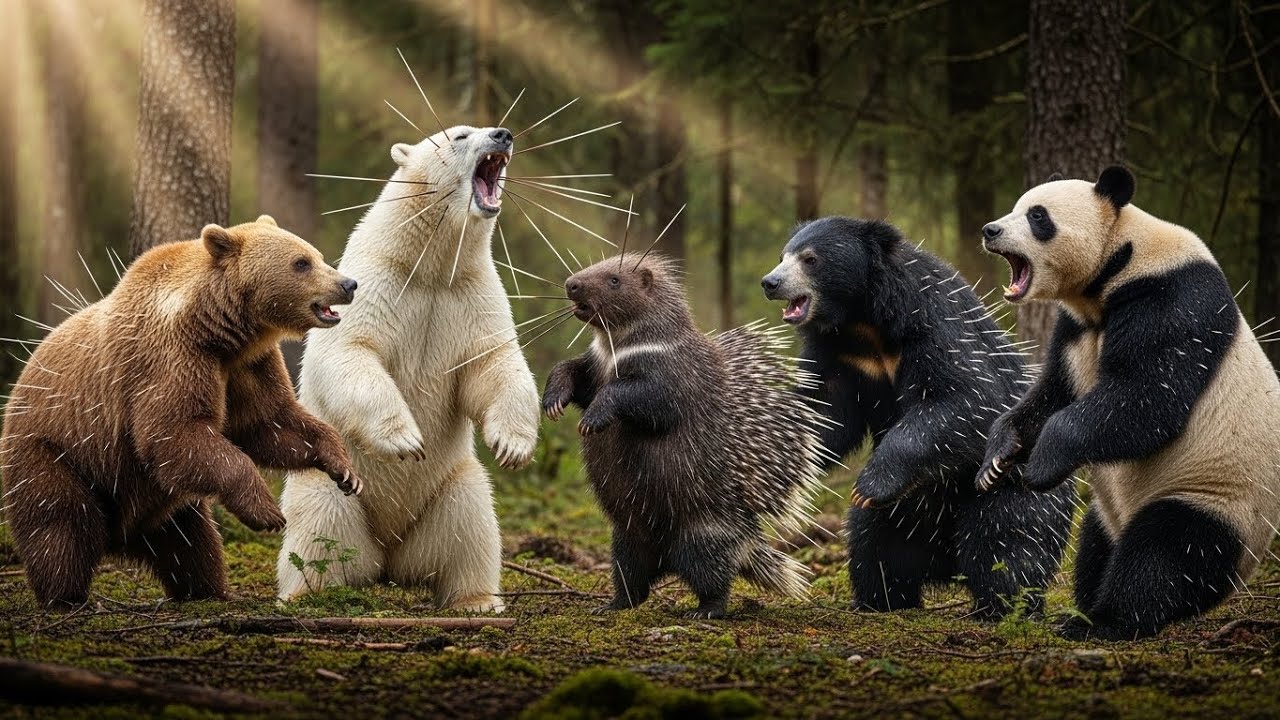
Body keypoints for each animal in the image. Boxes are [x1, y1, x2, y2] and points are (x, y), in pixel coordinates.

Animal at [0, 216, 361, 607]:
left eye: (316, 255)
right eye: (301, 262)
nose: (348, 283)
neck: (219, 330)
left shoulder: (246, 367)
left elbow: (268, 423)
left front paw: (345, 470)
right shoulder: (169, 361)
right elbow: (175, 433)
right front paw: (268, 513)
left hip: (164, 511)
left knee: (191, 543)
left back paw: (208, 590)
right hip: (56, 452)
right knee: (61, 524)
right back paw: (69, 597)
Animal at [277, 125, 540, 612]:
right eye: (460, 135)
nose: (503, 134)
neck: (428, 268)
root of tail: (390, 557)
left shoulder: (471, 292)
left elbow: (491, 360)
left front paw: (513, 445)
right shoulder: (375, 282)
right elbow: (351, 350)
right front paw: (405, 439)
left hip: (449, 487)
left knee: (471, 525)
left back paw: (477, 599)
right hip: (329, 478)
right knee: (321, 530)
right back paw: (308, 594)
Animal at [762, 216, 1076, 619]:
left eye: (810, 259)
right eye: (781, 256)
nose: (770, 283)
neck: (863, 321)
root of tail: (945, 568)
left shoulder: (934, 327)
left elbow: (963, 399)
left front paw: (869, 484)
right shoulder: (841, 357)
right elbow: (824, 413)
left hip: (1012, 488)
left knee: (1006, 545)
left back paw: (1001, 609)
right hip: (898, 514)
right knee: (873, 546)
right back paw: (880, 601)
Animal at [978, 166, 1280, 640]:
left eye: (1037, 216)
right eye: (1017, 208)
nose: (990, 230)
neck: (1119, 261)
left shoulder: (1171, 298)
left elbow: (1148, 398)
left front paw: (1042, 464)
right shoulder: (1077, 327)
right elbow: (1054, 393)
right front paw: (997, 460)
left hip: (1219, 497)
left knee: (1164, 554)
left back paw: (1105, 621)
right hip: (1109, 512)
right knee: (1096, 546)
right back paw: (1084, 607)